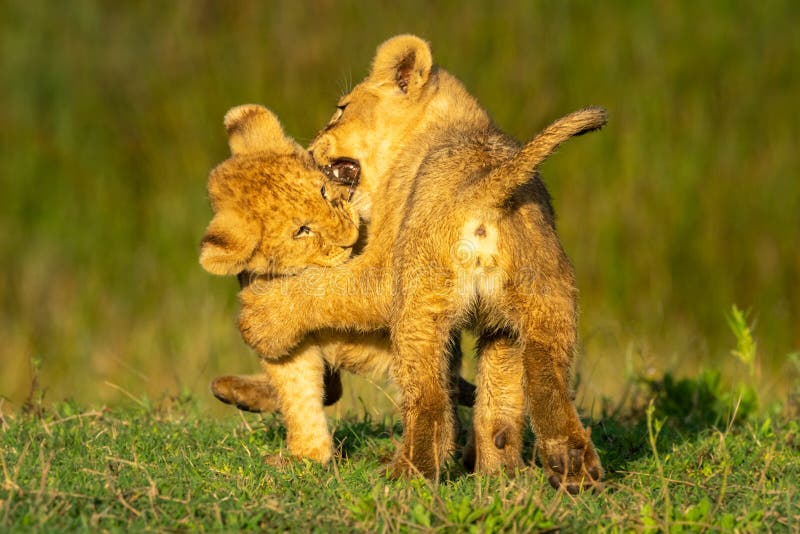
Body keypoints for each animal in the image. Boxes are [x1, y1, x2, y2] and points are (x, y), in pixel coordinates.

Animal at [201, 103, 475, 464]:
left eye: (321, 190)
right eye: (301, 230)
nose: (348, 236)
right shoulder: (293, 345)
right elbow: (298, 392)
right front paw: (308, 455)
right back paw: (234, 390)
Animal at [237, 35, 606, 492]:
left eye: (341, 109)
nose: (310, 147)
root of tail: (487, 186)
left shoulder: (385, 268)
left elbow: (326, 288)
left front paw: (261, 316)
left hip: (419, 306)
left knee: (428, 400)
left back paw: (406, 473)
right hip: (543, 301)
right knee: (538, 388)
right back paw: (560, 472)